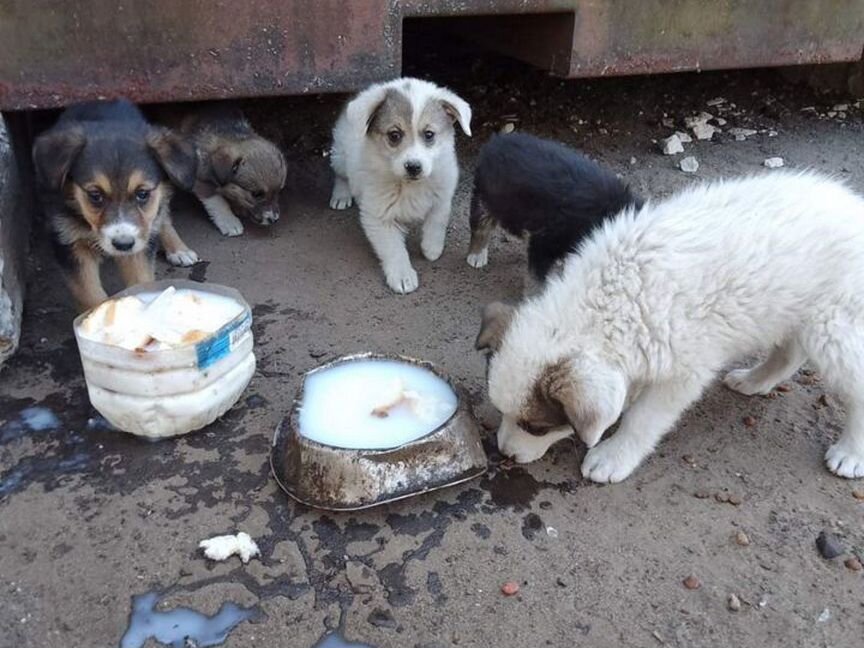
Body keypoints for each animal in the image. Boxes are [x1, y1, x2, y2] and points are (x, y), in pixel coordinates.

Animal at [33, 100, 197, 312]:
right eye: (95, 196)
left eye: (142, 194)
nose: (123, 244)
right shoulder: (68, 242)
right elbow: (90, 294)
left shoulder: (139, 245)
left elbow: (141, 280)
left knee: (163, 217)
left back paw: (179, 249)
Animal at [330, 77, 472, 294]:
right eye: (394, 135)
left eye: (429, 134)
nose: (413, 167)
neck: (409, 185)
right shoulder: (380, 218)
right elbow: (394, 250)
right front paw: (402, 276)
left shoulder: (442, 197)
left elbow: (436, 221)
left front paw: (431, 248)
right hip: (340, 153)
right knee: (340, 174)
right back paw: (341, 195)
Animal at [466, 133, 640, 290]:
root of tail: (496, 140)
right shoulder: (547, 239)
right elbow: (537, 278)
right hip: (487, 196)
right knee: (481, 225)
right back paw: (476, 255)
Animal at [476, 175, 864, 484]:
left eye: (536, 428)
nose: (504, 454)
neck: (608, 304)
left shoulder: (684, 373)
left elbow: (643, 419)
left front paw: (613, 456)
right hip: (794, 310)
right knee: (790, 351)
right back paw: (754, 380)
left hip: (836, 326)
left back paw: (850, 454)